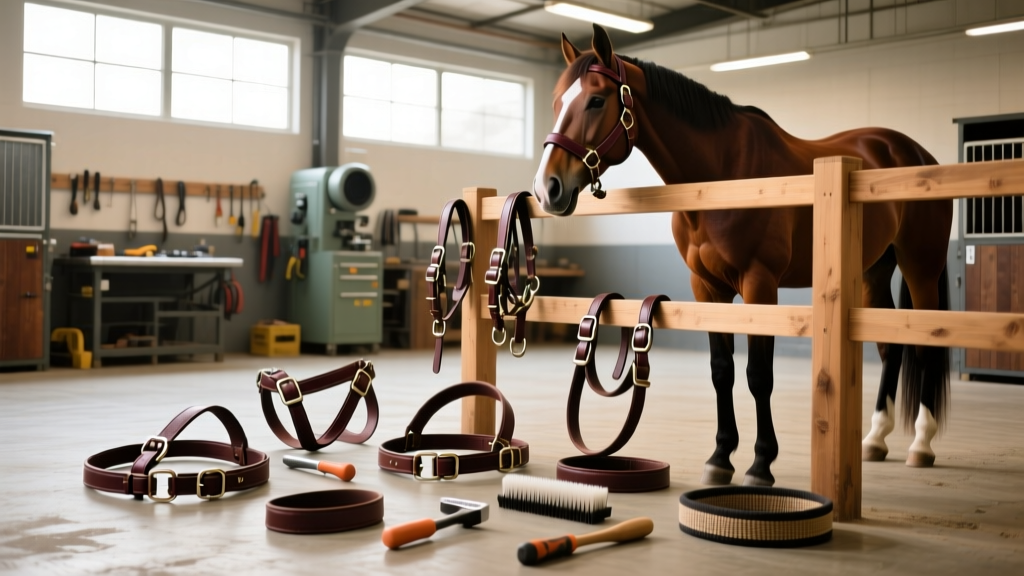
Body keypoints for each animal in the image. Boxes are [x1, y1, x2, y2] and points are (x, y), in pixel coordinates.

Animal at [533, 24, 952, 486]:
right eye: (557, 102)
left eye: (596, 100)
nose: (547, 187)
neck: (722, 175)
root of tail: (914, 152)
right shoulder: (707, 288)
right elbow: (722, 371)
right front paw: (720, 457)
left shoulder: (759, 285)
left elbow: (758, 374)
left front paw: (760, 463)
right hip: (872, 272)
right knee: (891, 346)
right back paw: (876, 438)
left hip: (920, 267)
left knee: (927, 348)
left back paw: (921, 444)